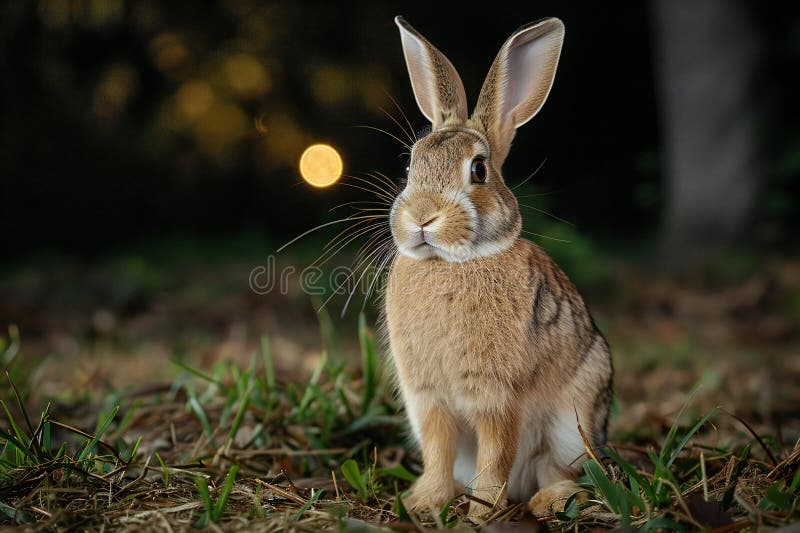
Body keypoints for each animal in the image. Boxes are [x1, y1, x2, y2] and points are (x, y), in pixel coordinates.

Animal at [382, 16, 614, 518]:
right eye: (410, 167)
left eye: (479, 170)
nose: (422, 217)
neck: (450, 263)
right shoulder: (428, 399)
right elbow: (438, 453)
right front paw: (423, 503)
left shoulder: (498, 398)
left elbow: (496, 455)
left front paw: (482, 512)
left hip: (570, 427)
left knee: (563, 472)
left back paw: (547, 501)